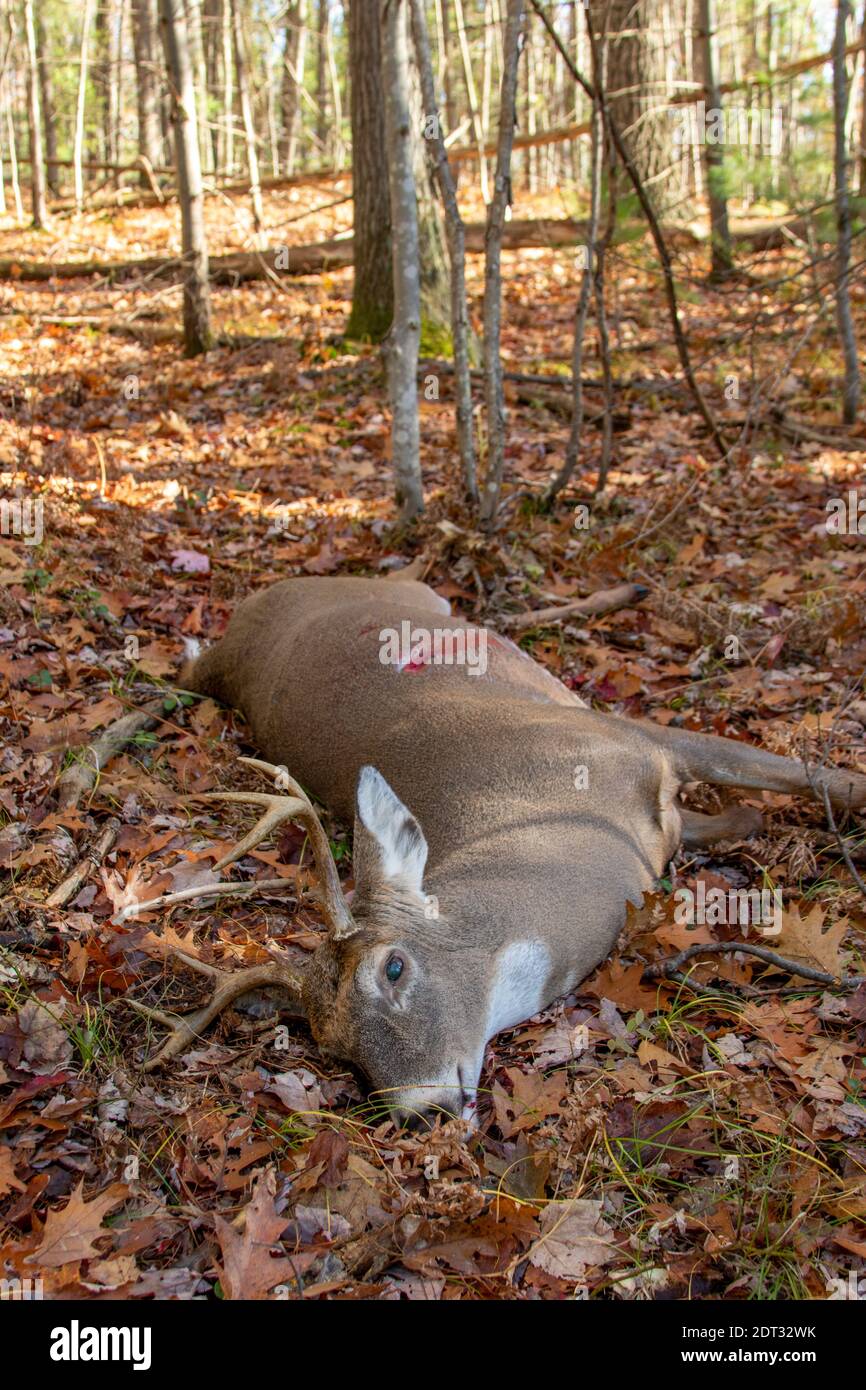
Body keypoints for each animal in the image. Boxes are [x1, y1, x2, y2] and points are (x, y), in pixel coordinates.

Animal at [128, 576, 866, 1124]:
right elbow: (737, 817)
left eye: (394, 967)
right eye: (334, 1048)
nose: (421, 1109)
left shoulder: (640, 740)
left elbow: (818, 779)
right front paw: (745, 817)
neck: (552, 829)